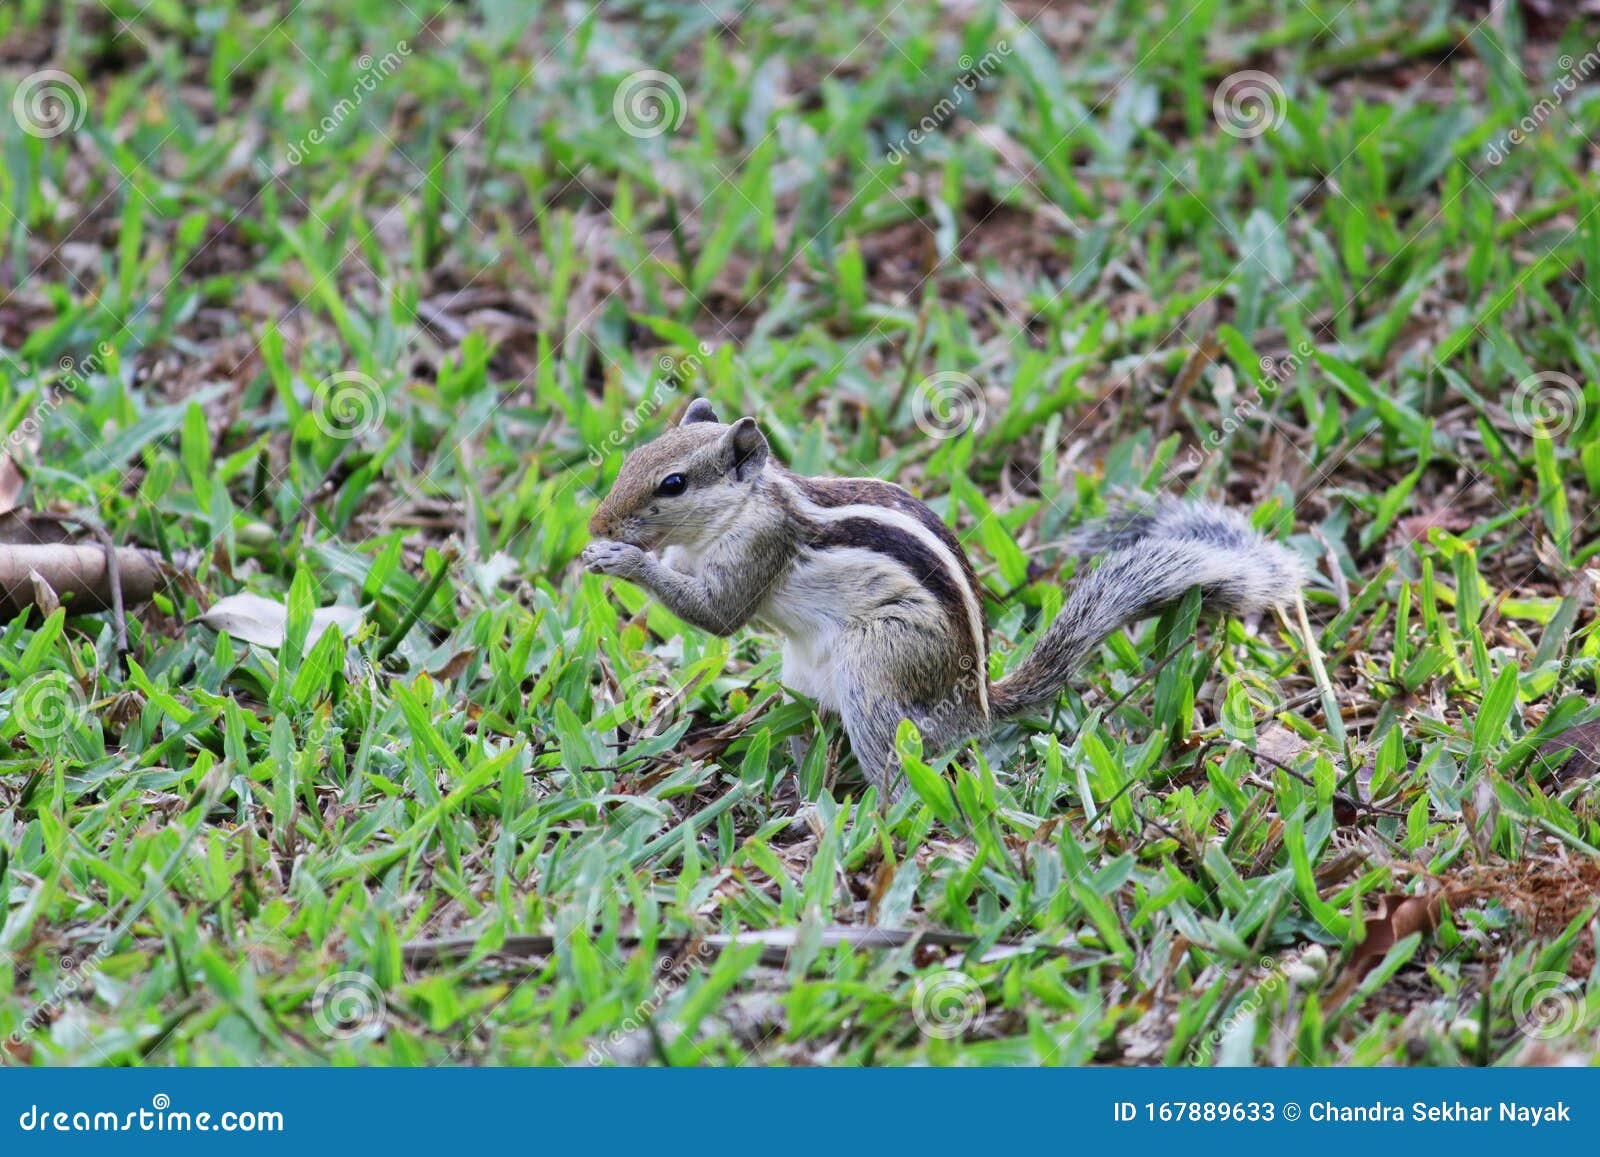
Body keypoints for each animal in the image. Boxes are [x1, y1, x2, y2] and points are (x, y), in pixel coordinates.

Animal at [583, 397, 1305, 799]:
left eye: (673, 483)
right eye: (636, 456)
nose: (597, 521)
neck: (742, 509)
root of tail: (976, 708)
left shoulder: (760, 547)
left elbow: (717, 615)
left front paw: (622, 561)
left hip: (878, 661)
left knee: (898, 762)